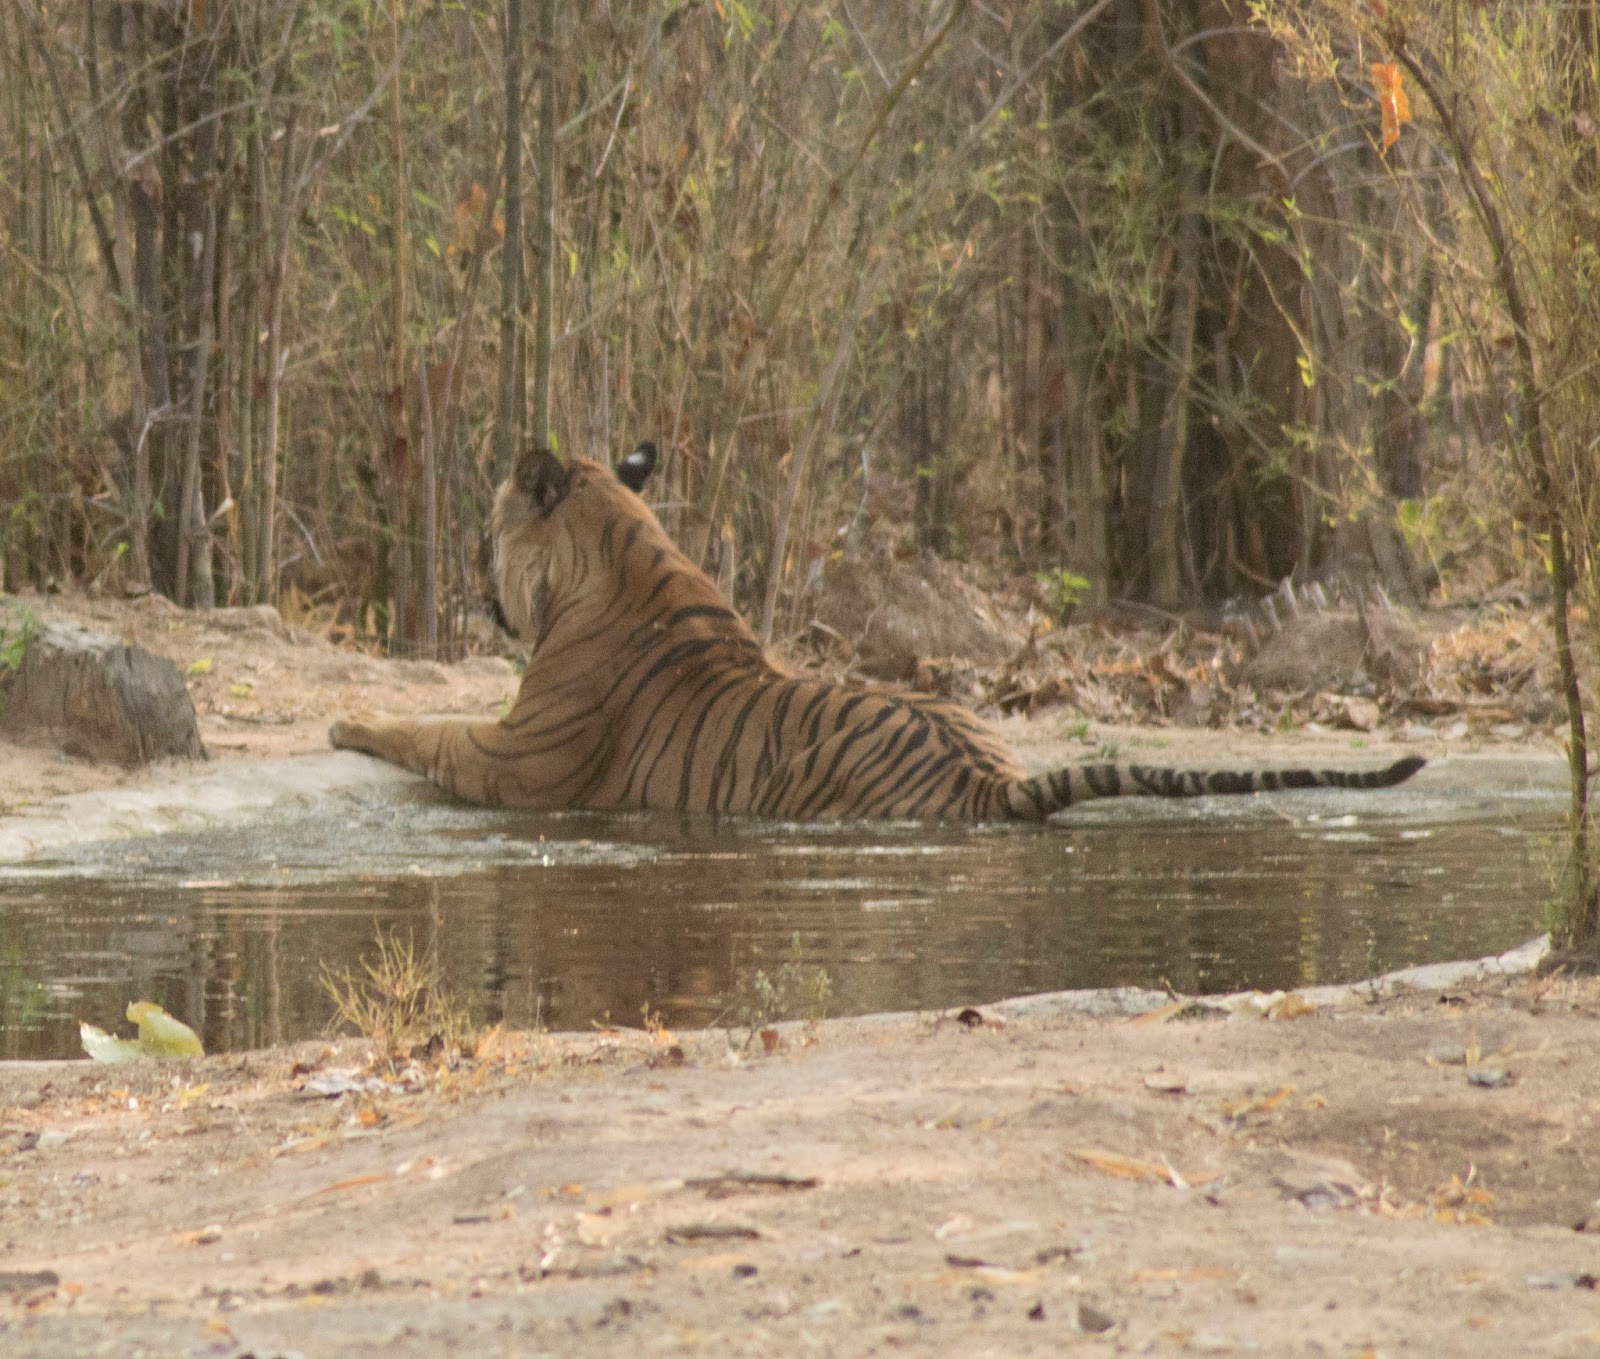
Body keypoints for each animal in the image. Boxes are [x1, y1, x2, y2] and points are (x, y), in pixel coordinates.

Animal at [328, 442, 1425, 820]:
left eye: (487, 529)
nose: (476, 579)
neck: (619, 547)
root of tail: (987, 777)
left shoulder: (514, 756)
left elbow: (425, 730)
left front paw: (346, 718)